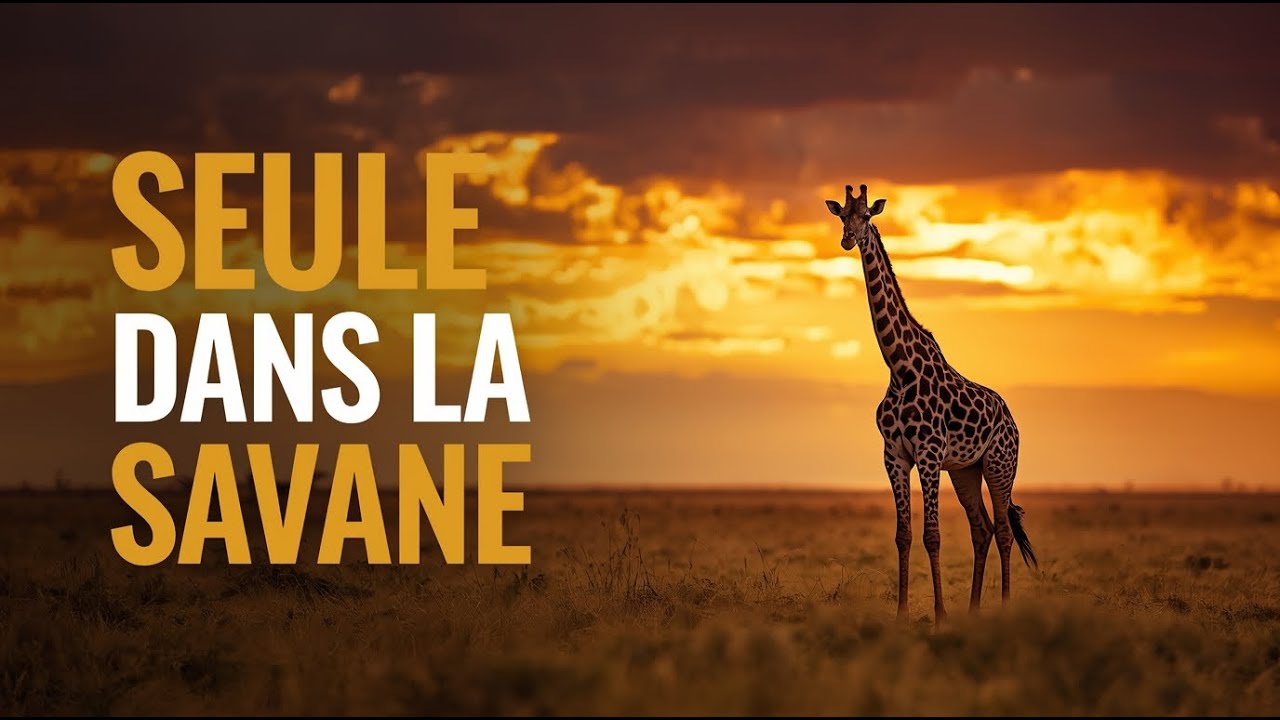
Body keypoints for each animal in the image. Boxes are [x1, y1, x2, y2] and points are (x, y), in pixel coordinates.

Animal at [826, 184, 1037, 623]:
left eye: (866, 216)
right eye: (841, 216)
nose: (848, 239)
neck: (899, 366)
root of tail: (1011, 418)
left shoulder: (929, 452)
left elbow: (933, 535)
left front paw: (939, 615)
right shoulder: (894, 455)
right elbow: (904, 534)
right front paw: (903, 613)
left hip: (1000, 464)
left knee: (1004, 530)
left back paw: (1003, 608)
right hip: (966, 470)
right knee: (982, 528)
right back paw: (973, 609)